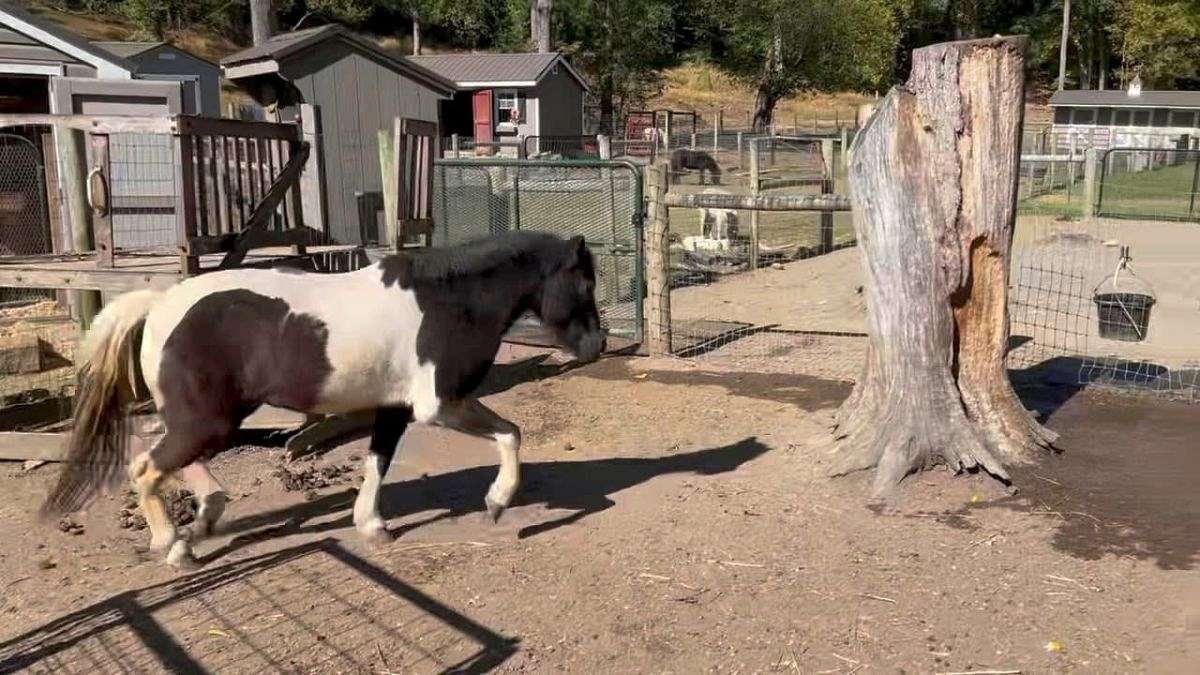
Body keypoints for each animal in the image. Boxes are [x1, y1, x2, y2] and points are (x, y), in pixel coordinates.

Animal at [40, 231, 606, 568]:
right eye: (585, 283)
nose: (597, 346)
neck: (449, 301)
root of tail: (160, 303)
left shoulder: (396, 408)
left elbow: (377, 463)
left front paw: (372, 527)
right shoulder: (439, 405)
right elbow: (511, 434)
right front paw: (497, 501)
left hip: (204, 419)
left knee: (156, 453)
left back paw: (203, 521)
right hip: (208, 421)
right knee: (144, 467)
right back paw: (174, 547)